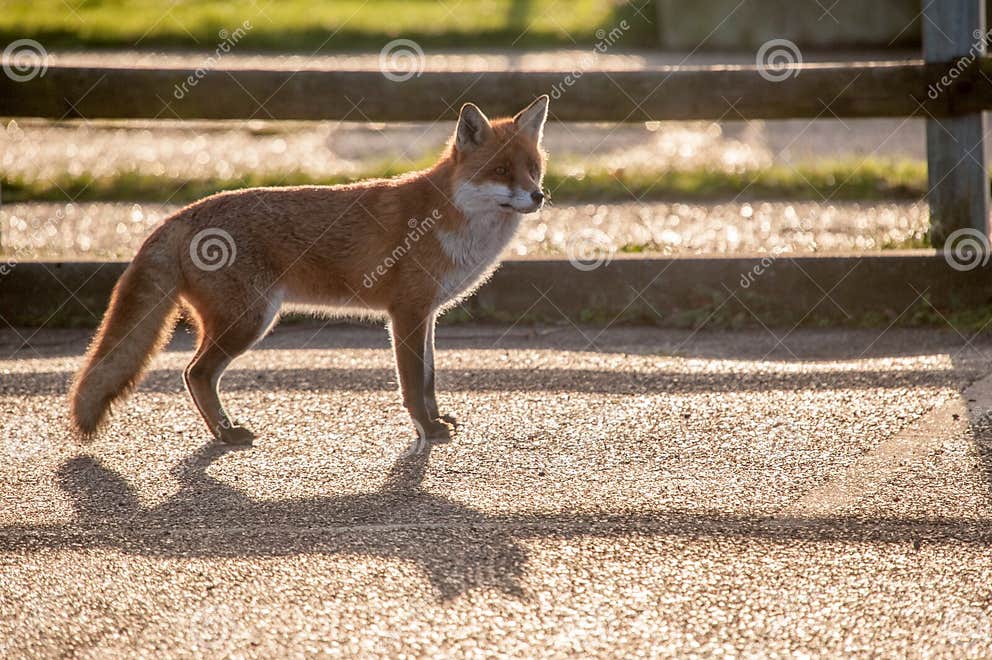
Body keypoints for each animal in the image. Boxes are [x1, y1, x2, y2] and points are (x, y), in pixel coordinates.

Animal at [69, 96, 550, 446]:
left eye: (533, 169)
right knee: (195, 374)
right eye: (501, 170)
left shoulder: (426, 314)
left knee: (194, 374)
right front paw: (427, 431)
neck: (450, 220)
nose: (539, 196)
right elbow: (413, 384)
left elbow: (429, 379)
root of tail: (180, 214)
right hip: (249, 321)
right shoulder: (407, 313)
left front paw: (435, 419)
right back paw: (226, 434)